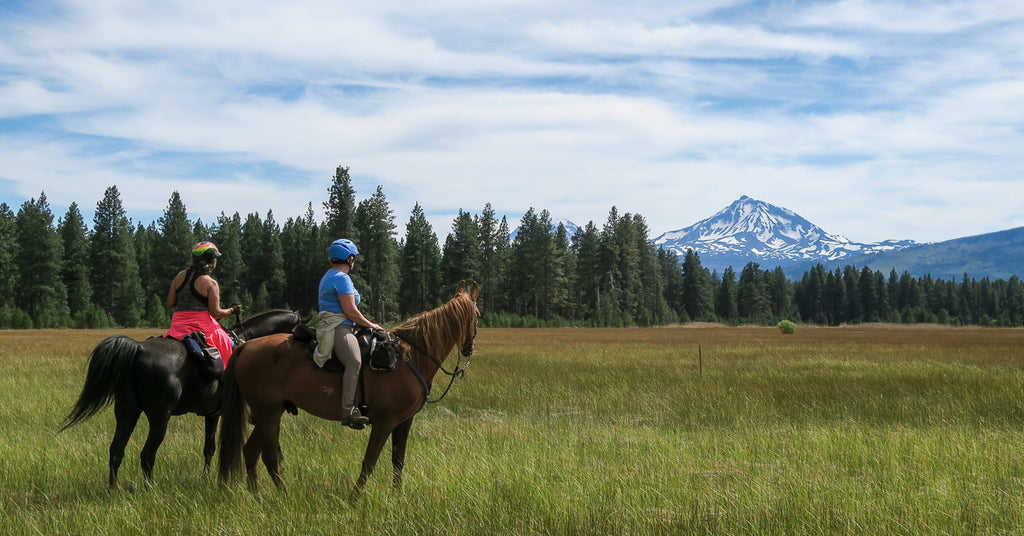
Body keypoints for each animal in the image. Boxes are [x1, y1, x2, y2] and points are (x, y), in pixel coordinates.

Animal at [60, 309, 304, 488]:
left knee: (116, 450)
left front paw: (206, 477)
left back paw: (114, 488)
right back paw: (150, 488)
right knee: (147, 454)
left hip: (127, 412)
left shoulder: (213, 414)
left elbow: (209, 448)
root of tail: (138, 348)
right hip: (159, 418)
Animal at [218, 281, 480, 495]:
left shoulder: (404, 421)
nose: (469, 348)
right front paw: (356, 496)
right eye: (477, 314)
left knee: (250, 452)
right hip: (268, 413)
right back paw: (284, 495)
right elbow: (370, 460)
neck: (409, 357)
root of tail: (246, 346)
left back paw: (258, 495)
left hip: (270, 413)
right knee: (270, 457)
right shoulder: (385, 422)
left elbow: (398, 460)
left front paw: (396, 496)